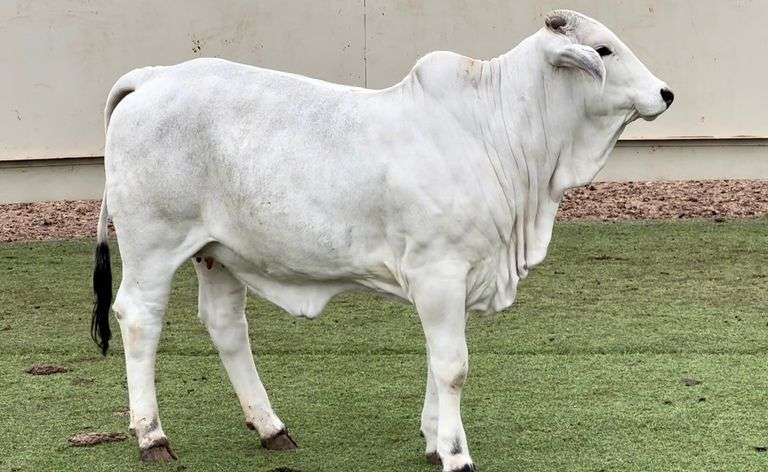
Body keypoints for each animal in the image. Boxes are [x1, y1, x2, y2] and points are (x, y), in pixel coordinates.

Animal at [91, 9, 672, 471]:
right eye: (603, 49)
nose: (666, 93)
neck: (495, 129)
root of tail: (153, 77)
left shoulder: (458, 277)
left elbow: (437, 362)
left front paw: (434, 442)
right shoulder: (438, 272)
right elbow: (452, 366)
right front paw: (456, 454)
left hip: (217, 255)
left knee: (227, 327)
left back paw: (271, 427)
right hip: (154, 246)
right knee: (140, 319)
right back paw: (151, 437)